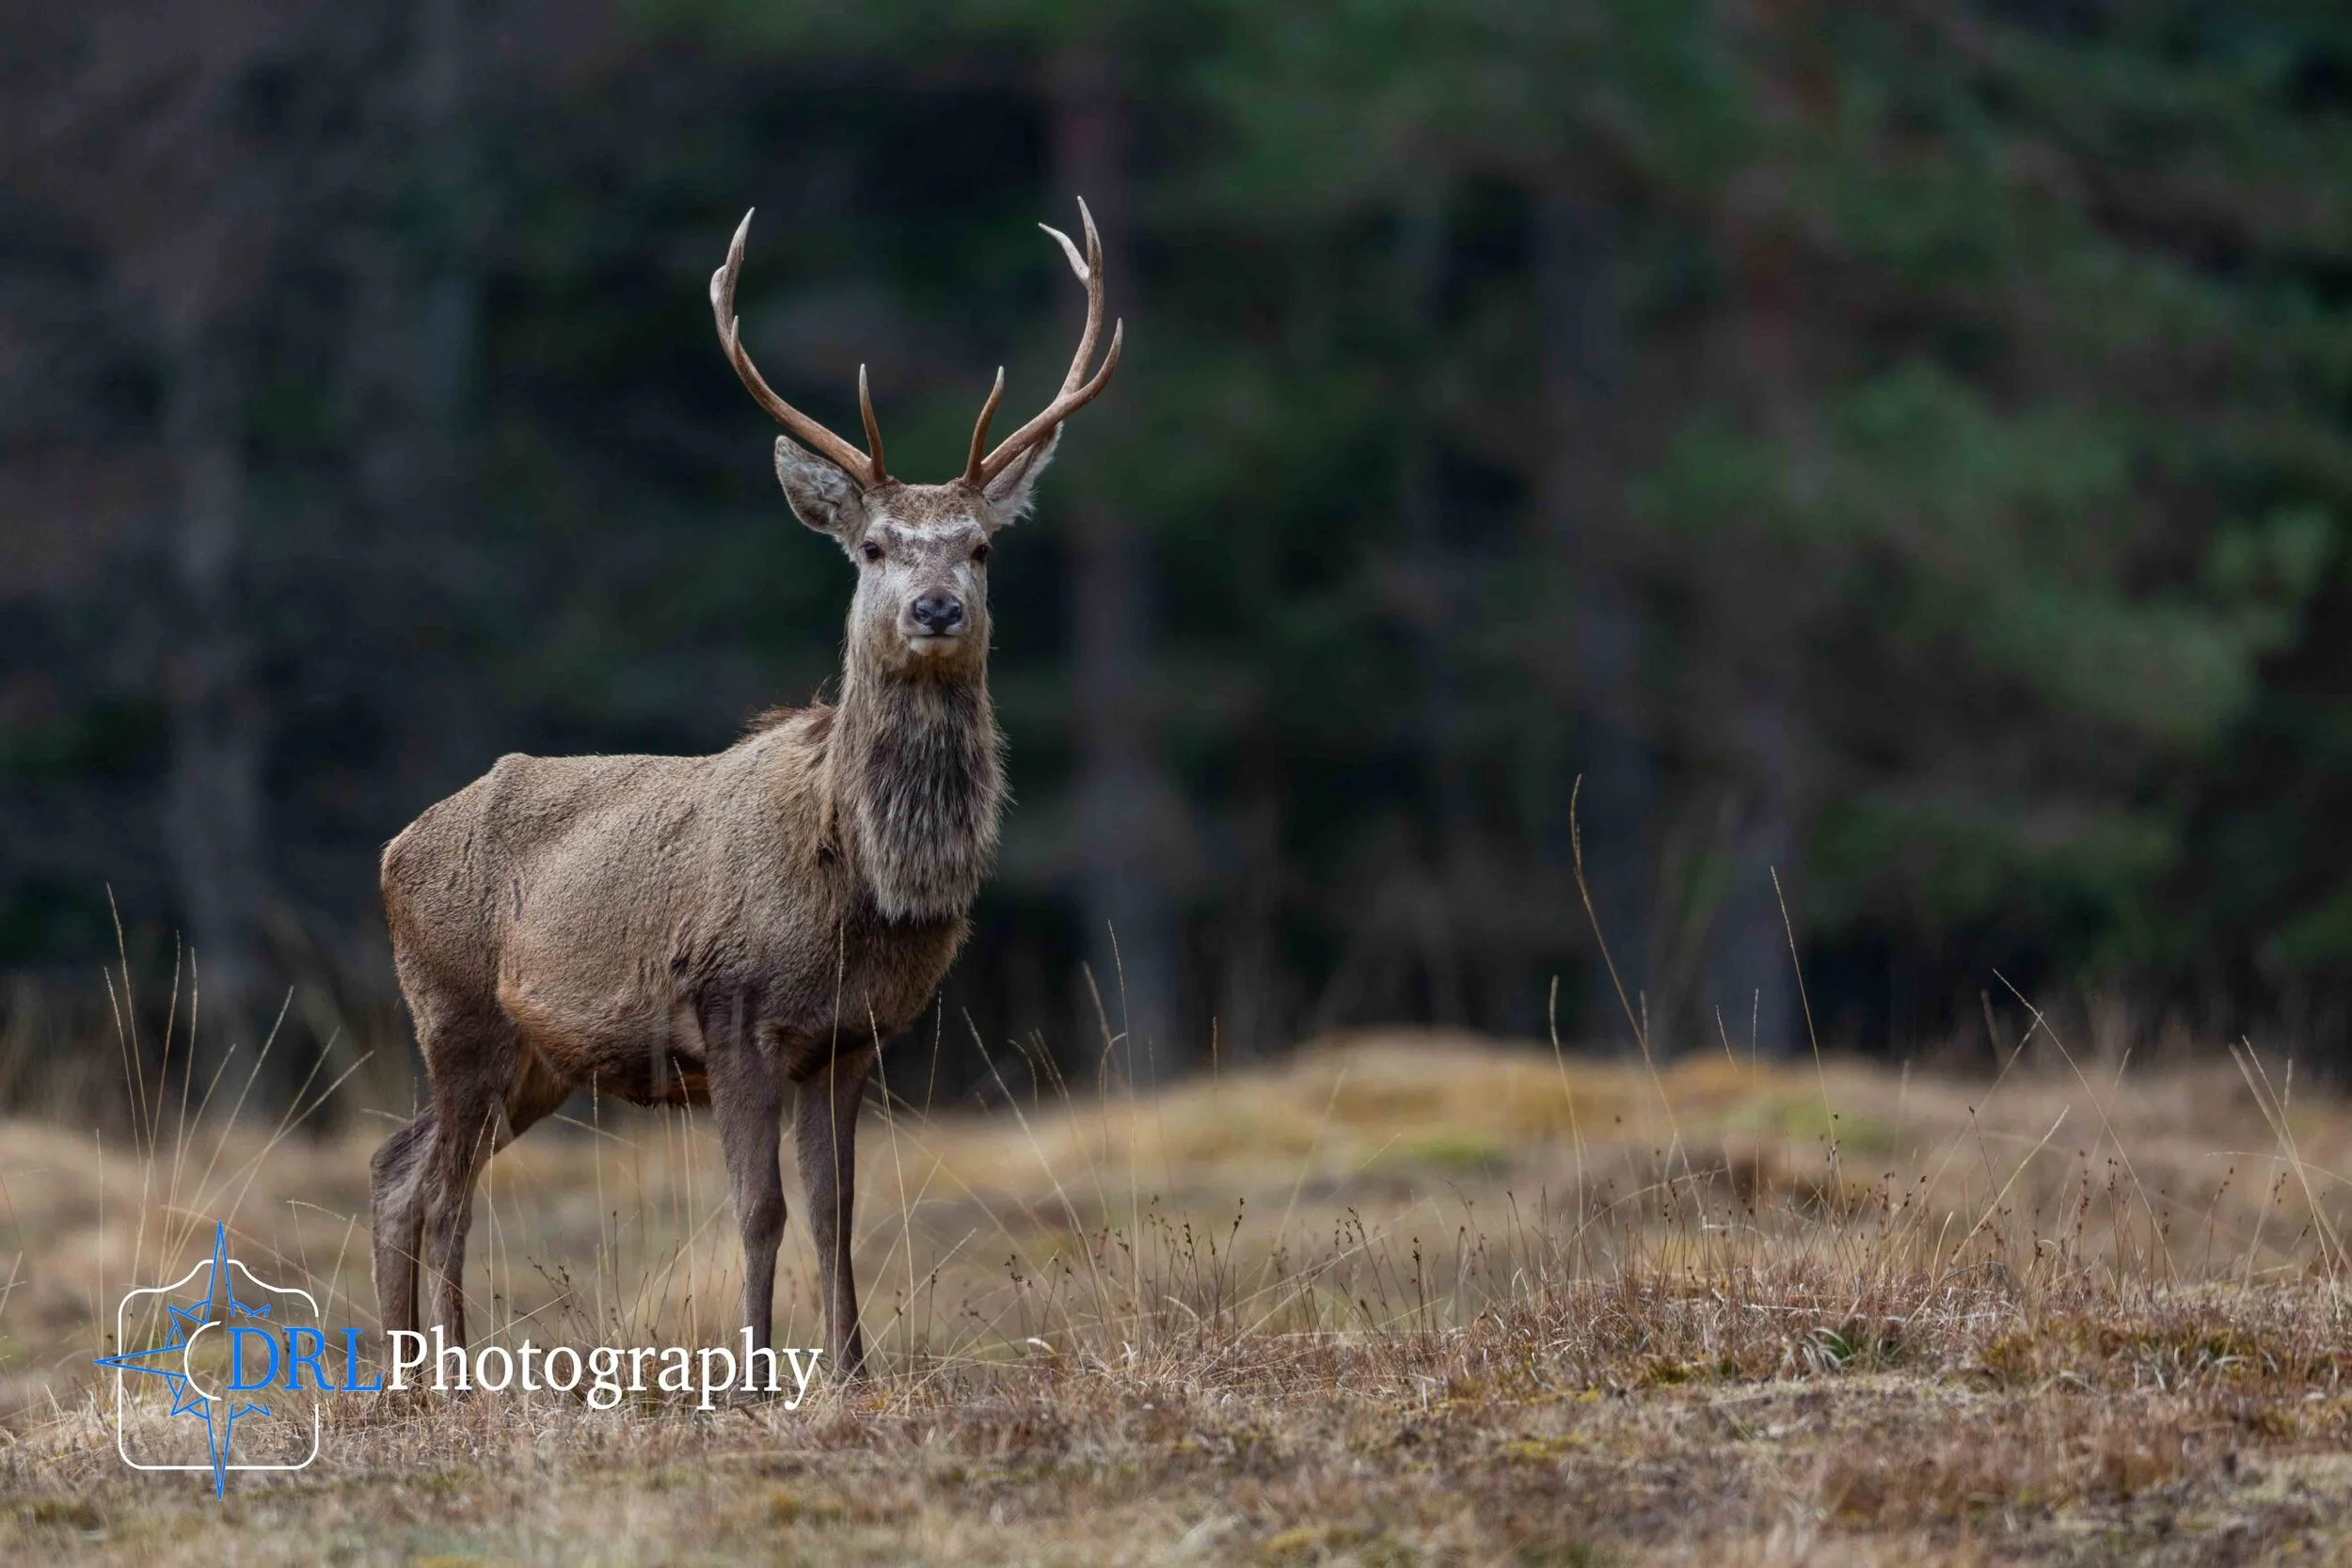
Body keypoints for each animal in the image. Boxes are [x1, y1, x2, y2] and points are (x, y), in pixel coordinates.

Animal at [369, 200, 1121, 1381]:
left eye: (983, 546)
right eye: (874, 545)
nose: (938, 607)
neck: (856, 887)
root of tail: (392, 849)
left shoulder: (852, 1037)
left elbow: (837, 1210)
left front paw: (849, 1367)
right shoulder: (732, 1008)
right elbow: (759, 1206)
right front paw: (755, 1371)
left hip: (536, 1055)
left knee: (397, 1167)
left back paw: (405, 1374)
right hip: (454, 1008)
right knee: (442, 1191)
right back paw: (451, 1373)